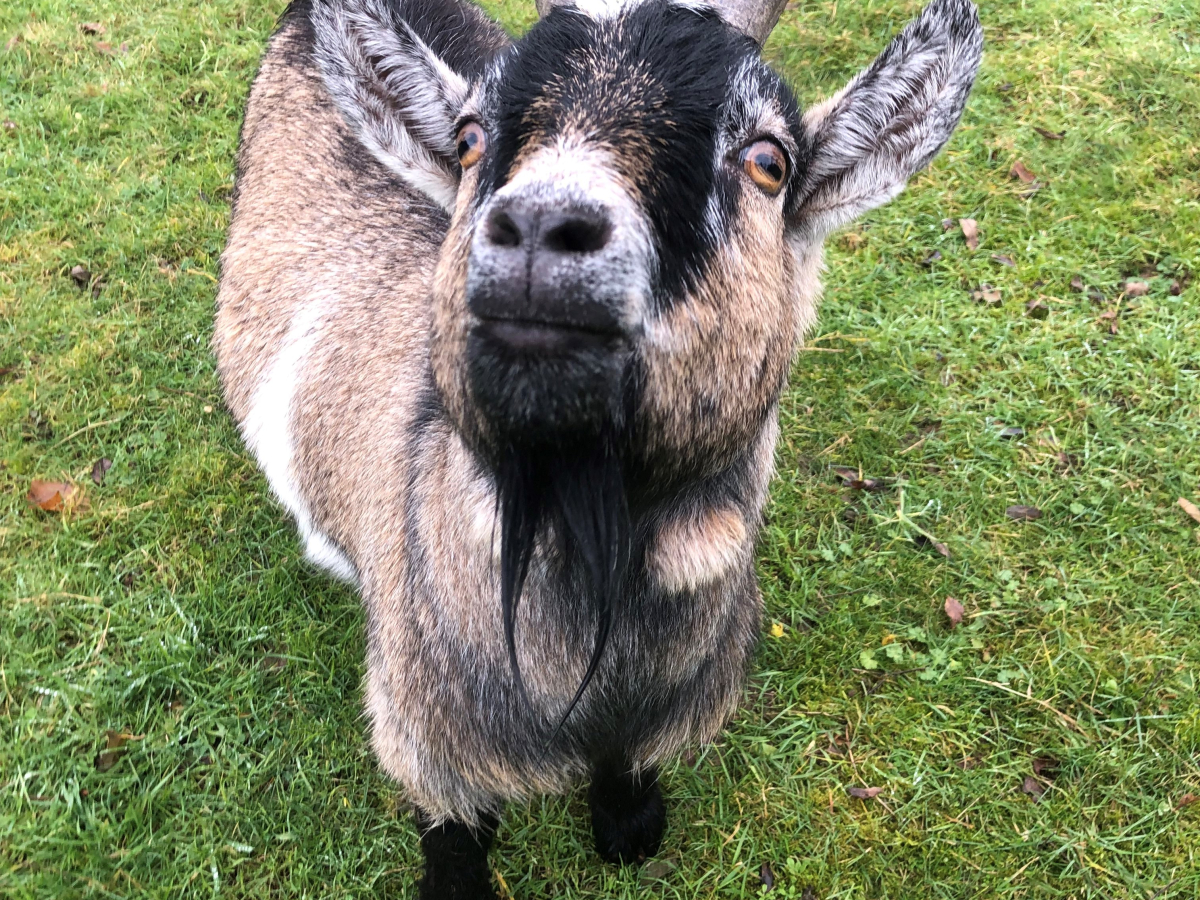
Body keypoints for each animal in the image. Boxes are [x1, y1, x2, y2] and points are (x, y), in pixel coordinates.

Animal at [214, 0, 982, 894]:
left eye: (769, 160)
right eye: (470, 139)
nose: (543, 224)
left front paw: (629, 829)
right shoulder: (423, 741)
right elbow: (453, 841)